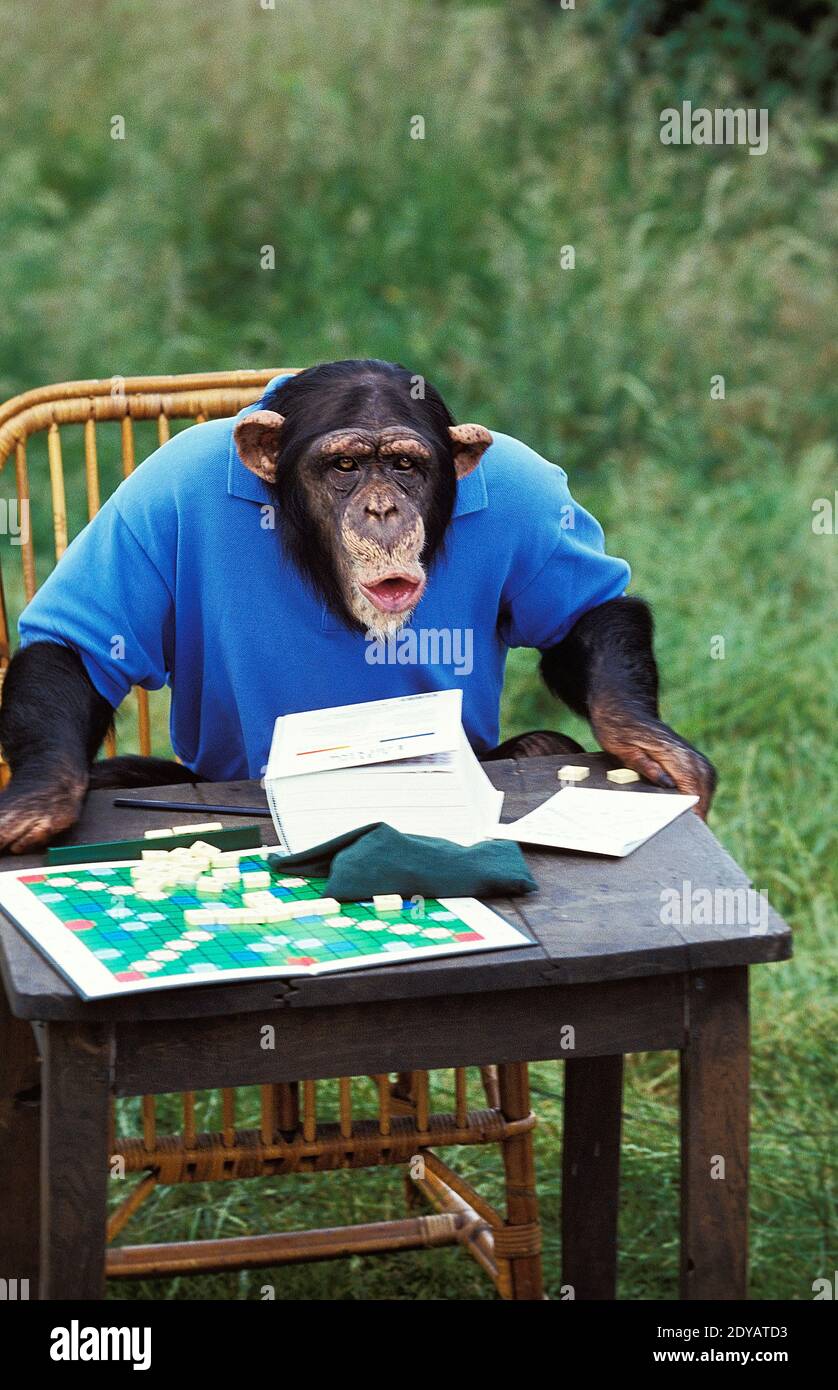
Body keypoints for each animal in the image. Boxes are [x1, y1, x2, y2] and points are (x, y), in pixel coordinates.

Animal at [0, 359, 715, 853]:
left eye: (403, 466)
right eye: (344, 465)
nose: (381, 509)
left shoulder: (537, 496)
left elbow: (584, 617)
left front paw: (645, 738)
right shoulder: (152, 501)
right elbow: (83, 648)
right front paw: (38, 798)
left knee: (547, 739)